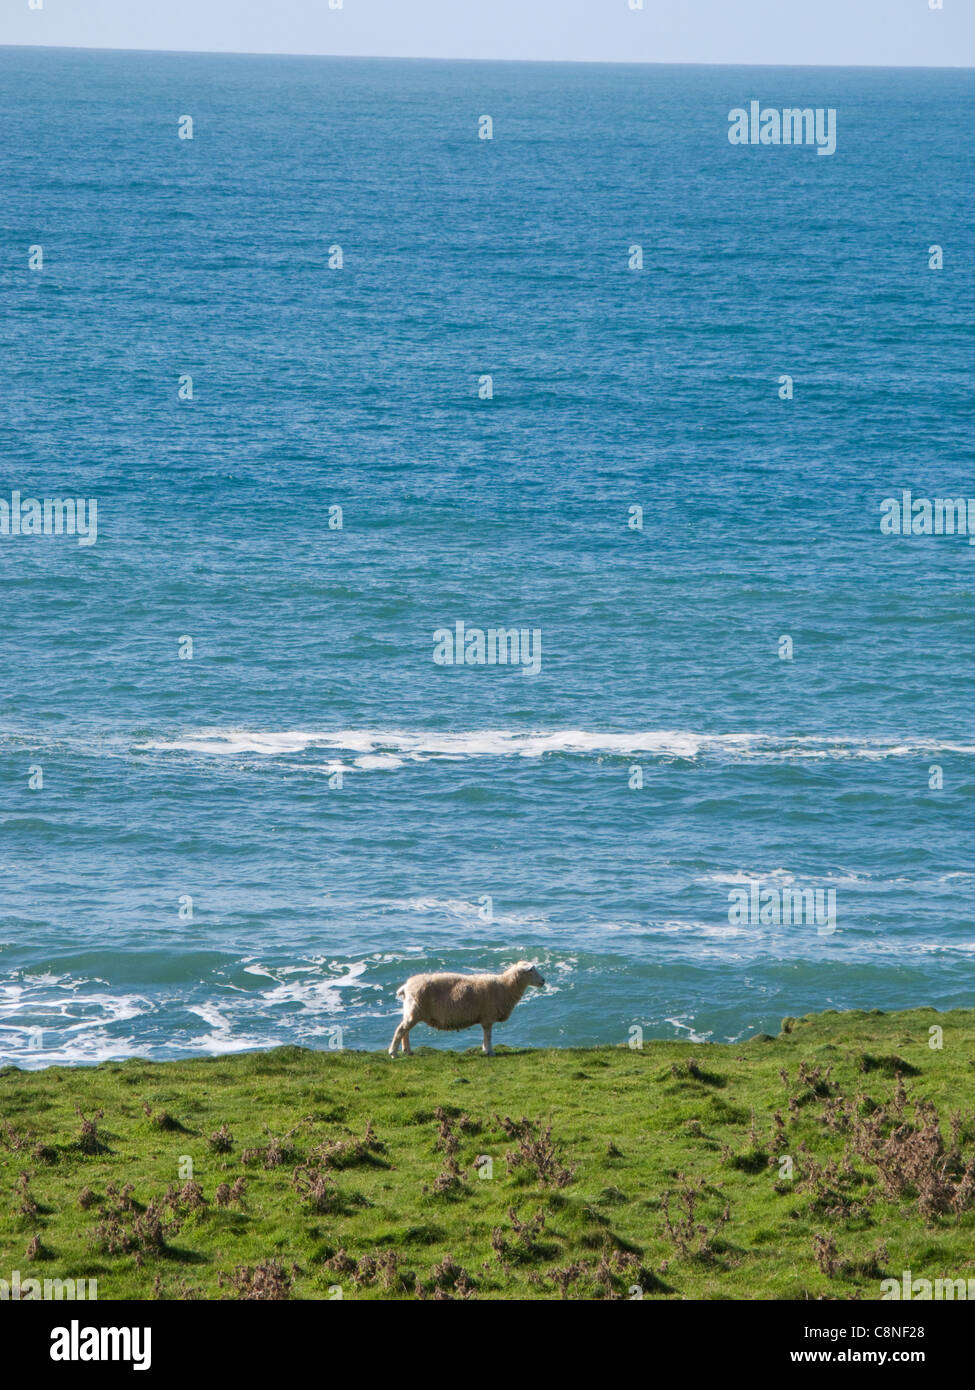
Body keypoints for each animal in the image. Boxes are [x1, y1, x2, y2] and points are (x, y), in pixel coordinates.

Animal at [388, 961, 545, 1058]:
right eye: (530, 970)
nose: (543, 981)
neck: (505, 986)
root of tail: (406, 987)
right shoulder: (488, 1016)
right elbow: (488, 1035)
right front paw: (490, 1051)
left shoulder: (485, 1018)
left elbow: (485, 1035)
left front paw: (485, 1049)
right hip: (415, 1010)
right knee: (400, 1030)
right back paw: (393, 1053)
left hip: (411, 1011)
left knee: (405, 1031)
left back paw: (407, 1051)